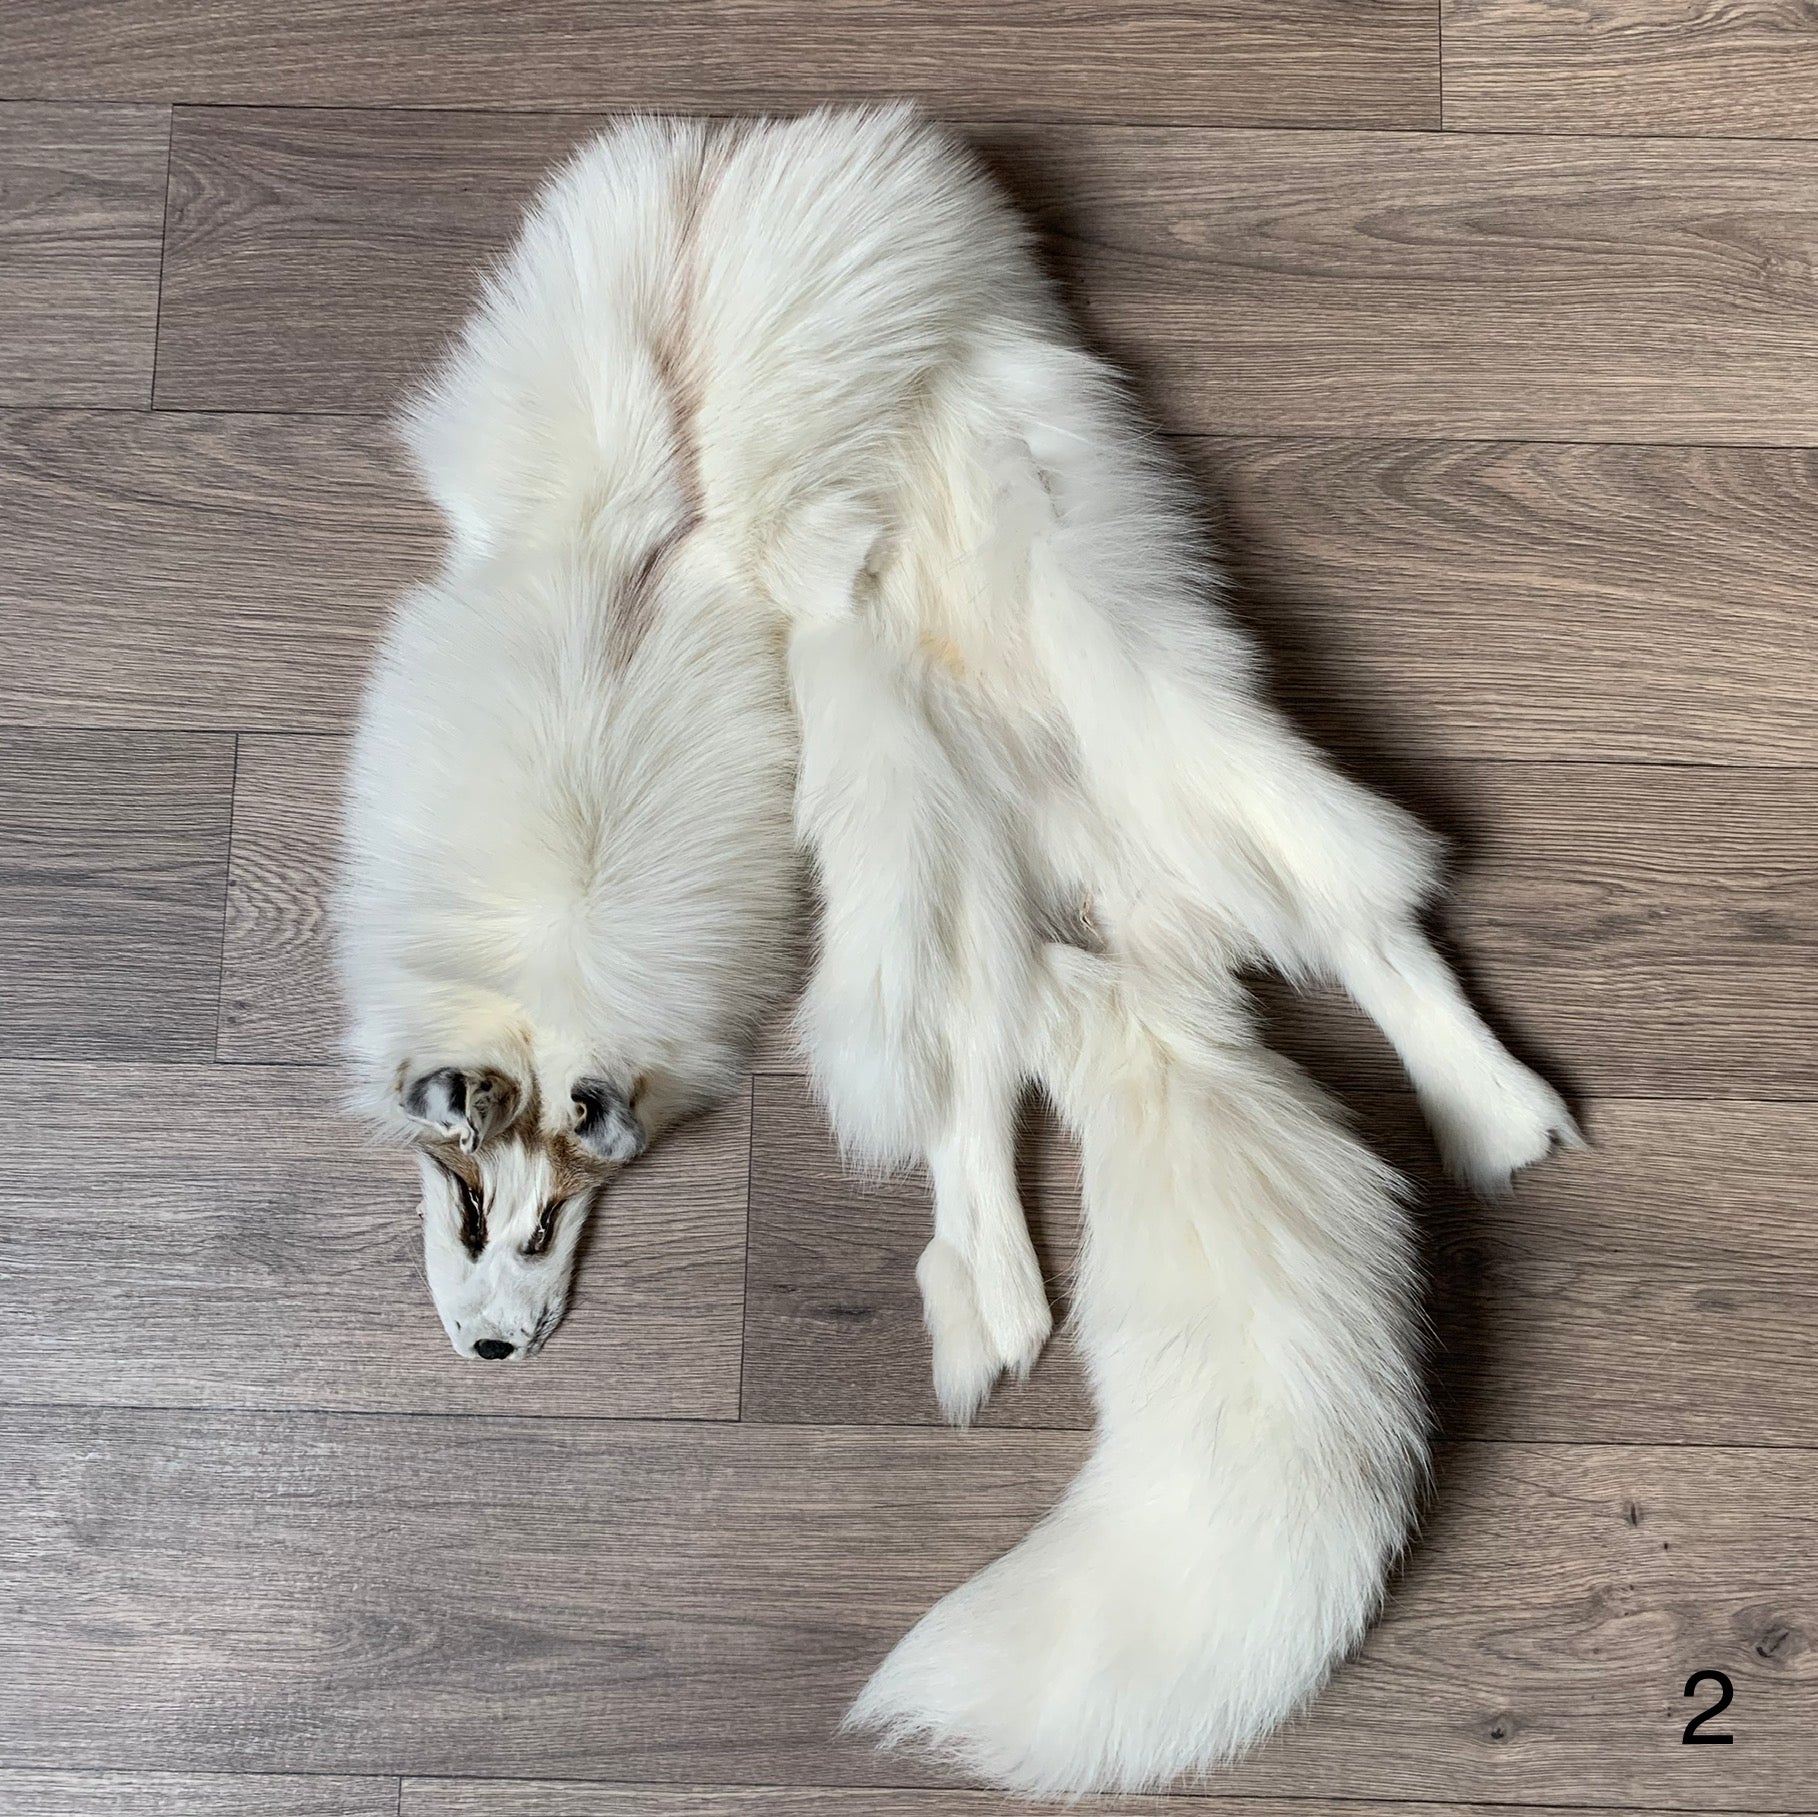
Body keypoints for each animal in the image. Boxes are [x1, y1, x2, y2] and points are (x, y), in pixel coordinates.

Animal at [336, 105, 1577, 1796]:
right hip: (1000, 763)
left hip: (979, 719)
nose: (490, 1354)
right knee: (1132, 993)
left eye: (539, 1220)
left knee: (1197, 961)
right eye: (468, 1201)